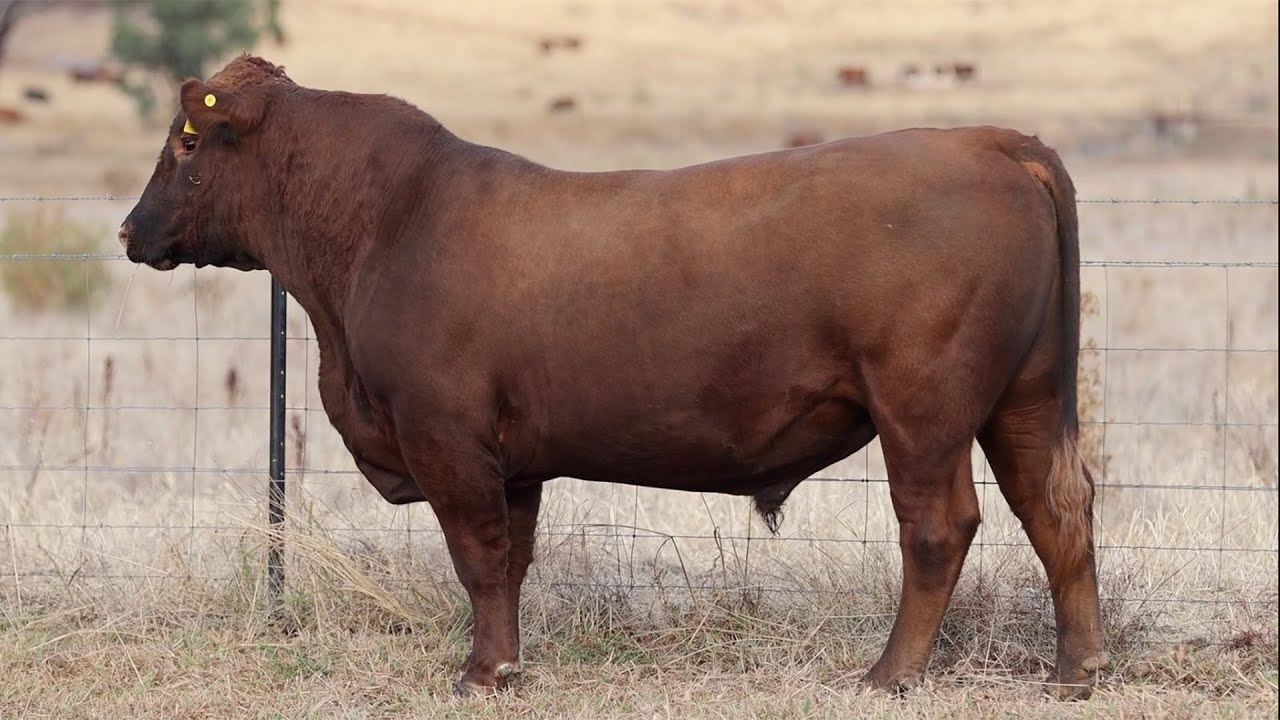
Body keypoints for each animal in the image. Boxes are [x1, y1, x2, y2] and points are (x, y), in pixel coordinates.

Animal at [118, 54, 1108, 699]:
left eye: (188, 144)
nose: (130, 230)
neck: (387, 223)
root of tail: (989, 142)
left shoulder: (447, 438)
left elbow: (477, 557)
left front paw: (483, 673)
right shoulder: (512, 462)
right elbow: (512, 560)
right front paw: (506, 661)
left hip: (922, 409)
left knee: (940, 528)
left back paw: (888, 674)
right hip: (1023, 398)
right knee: (1056, 509)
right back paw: (1078, 670)